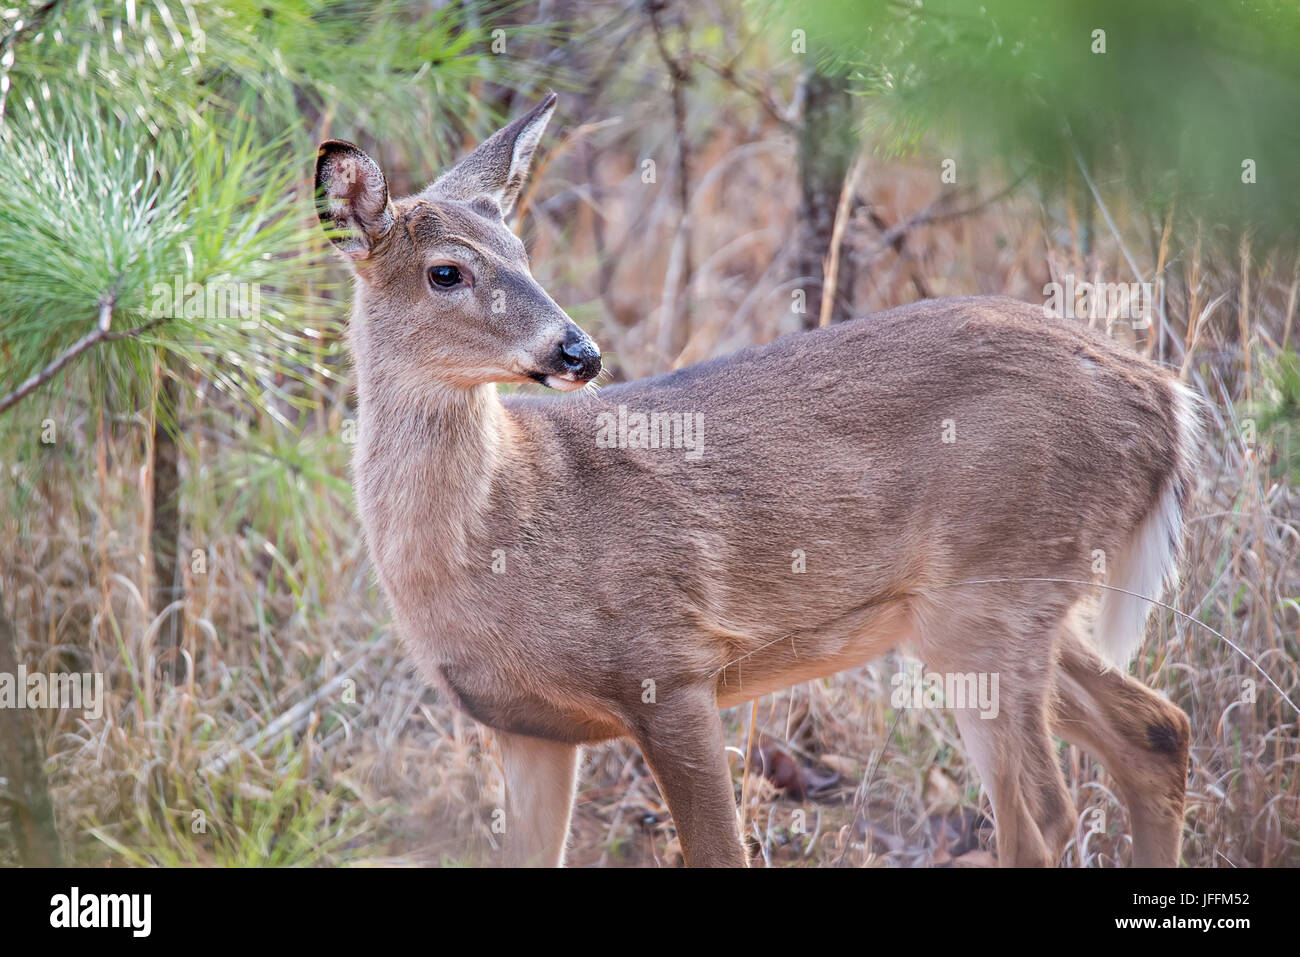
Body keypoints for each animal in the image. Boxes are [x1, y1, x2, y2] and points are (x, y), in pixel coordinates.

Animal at [314, 93, 1199, 868]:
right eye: (446, 272)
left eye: (526, 254)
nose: (579, 351)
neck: (505, 527)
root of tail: (1165, 400)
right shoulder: (528, 726)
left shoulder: (670, 665)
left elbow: (721, 852)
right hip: (993, 605)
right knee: (1157, 729)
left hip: (990, 596)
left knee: (1046, 818)